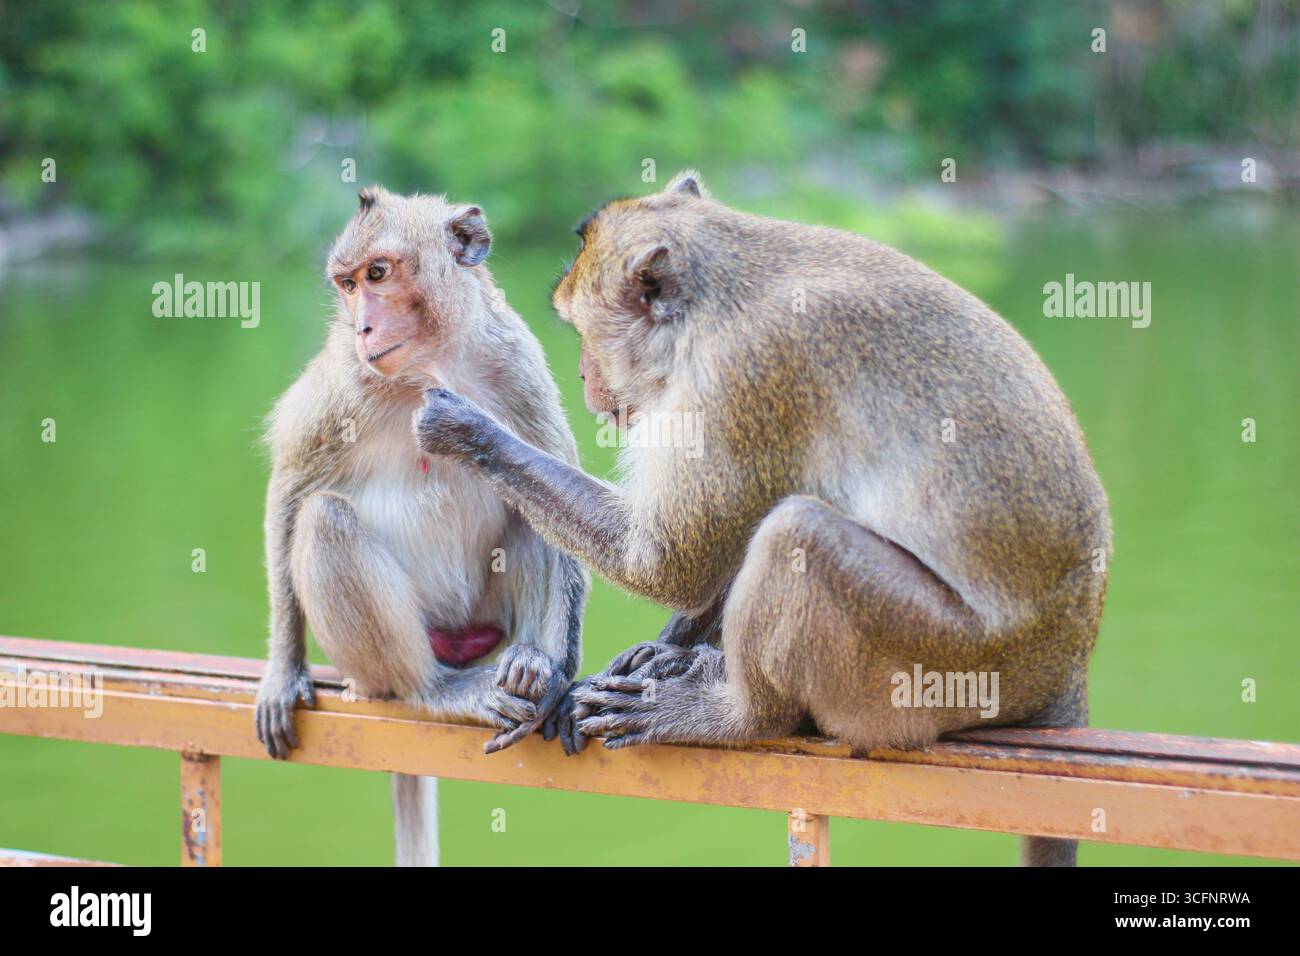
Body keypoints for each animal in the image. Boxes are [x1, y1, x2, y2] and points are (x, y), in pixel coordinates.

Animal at [254, 185, 588, 866]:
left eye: (379, 275)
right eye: (348, 284)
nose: (362, 325)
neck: (430, 368)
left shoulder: (515, 359)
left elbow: (555, 491)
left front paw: (557, 677)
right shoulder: (344, 379)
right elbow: (292, 488)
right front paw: (282, 670)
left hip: (486, 623)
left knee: (528, 507)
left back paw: (531, 668)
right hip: (387, 658)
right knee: (325, 518)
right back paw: (432, 690)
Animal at [418, 171, 1112, 867]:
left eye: (585, 331)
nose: (586, 377)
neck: (719, 295)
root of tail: (1068, 664)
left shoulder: (741, 373)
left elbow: (669, 563)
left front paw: (469, 431)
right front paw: (664, 648)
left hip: (943, 669)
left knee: (796, 532)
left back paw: (735, 716)